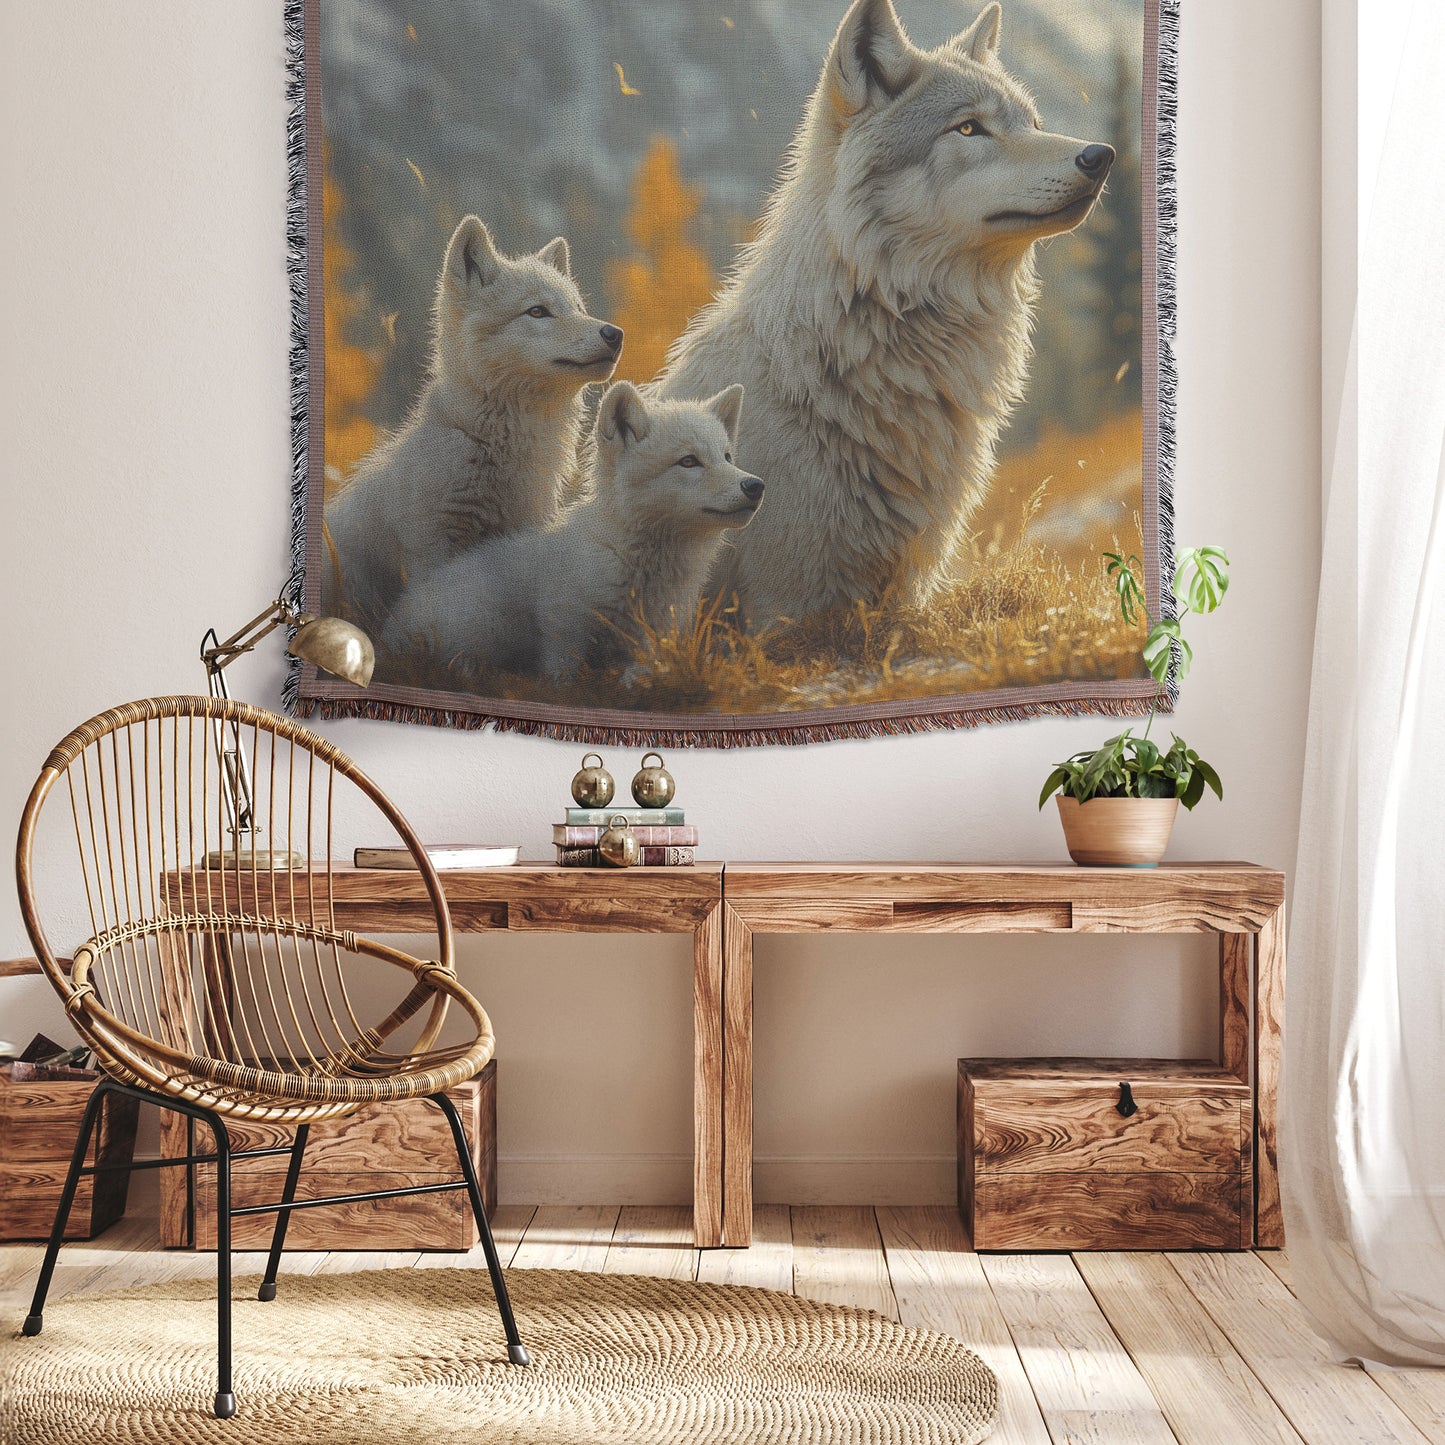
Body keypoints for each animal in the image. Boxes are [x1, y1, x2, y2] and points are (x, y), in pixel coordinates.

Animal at [383, 383, 764, 684]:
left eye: (727, 457)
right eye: (688, 461)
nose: (755, 485)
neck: (634, 561)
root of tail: (395, 620)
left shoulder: (645, 637)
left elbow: (635, 672)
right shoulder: (564, 627)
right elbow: (564, 679)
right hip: (482, 622)